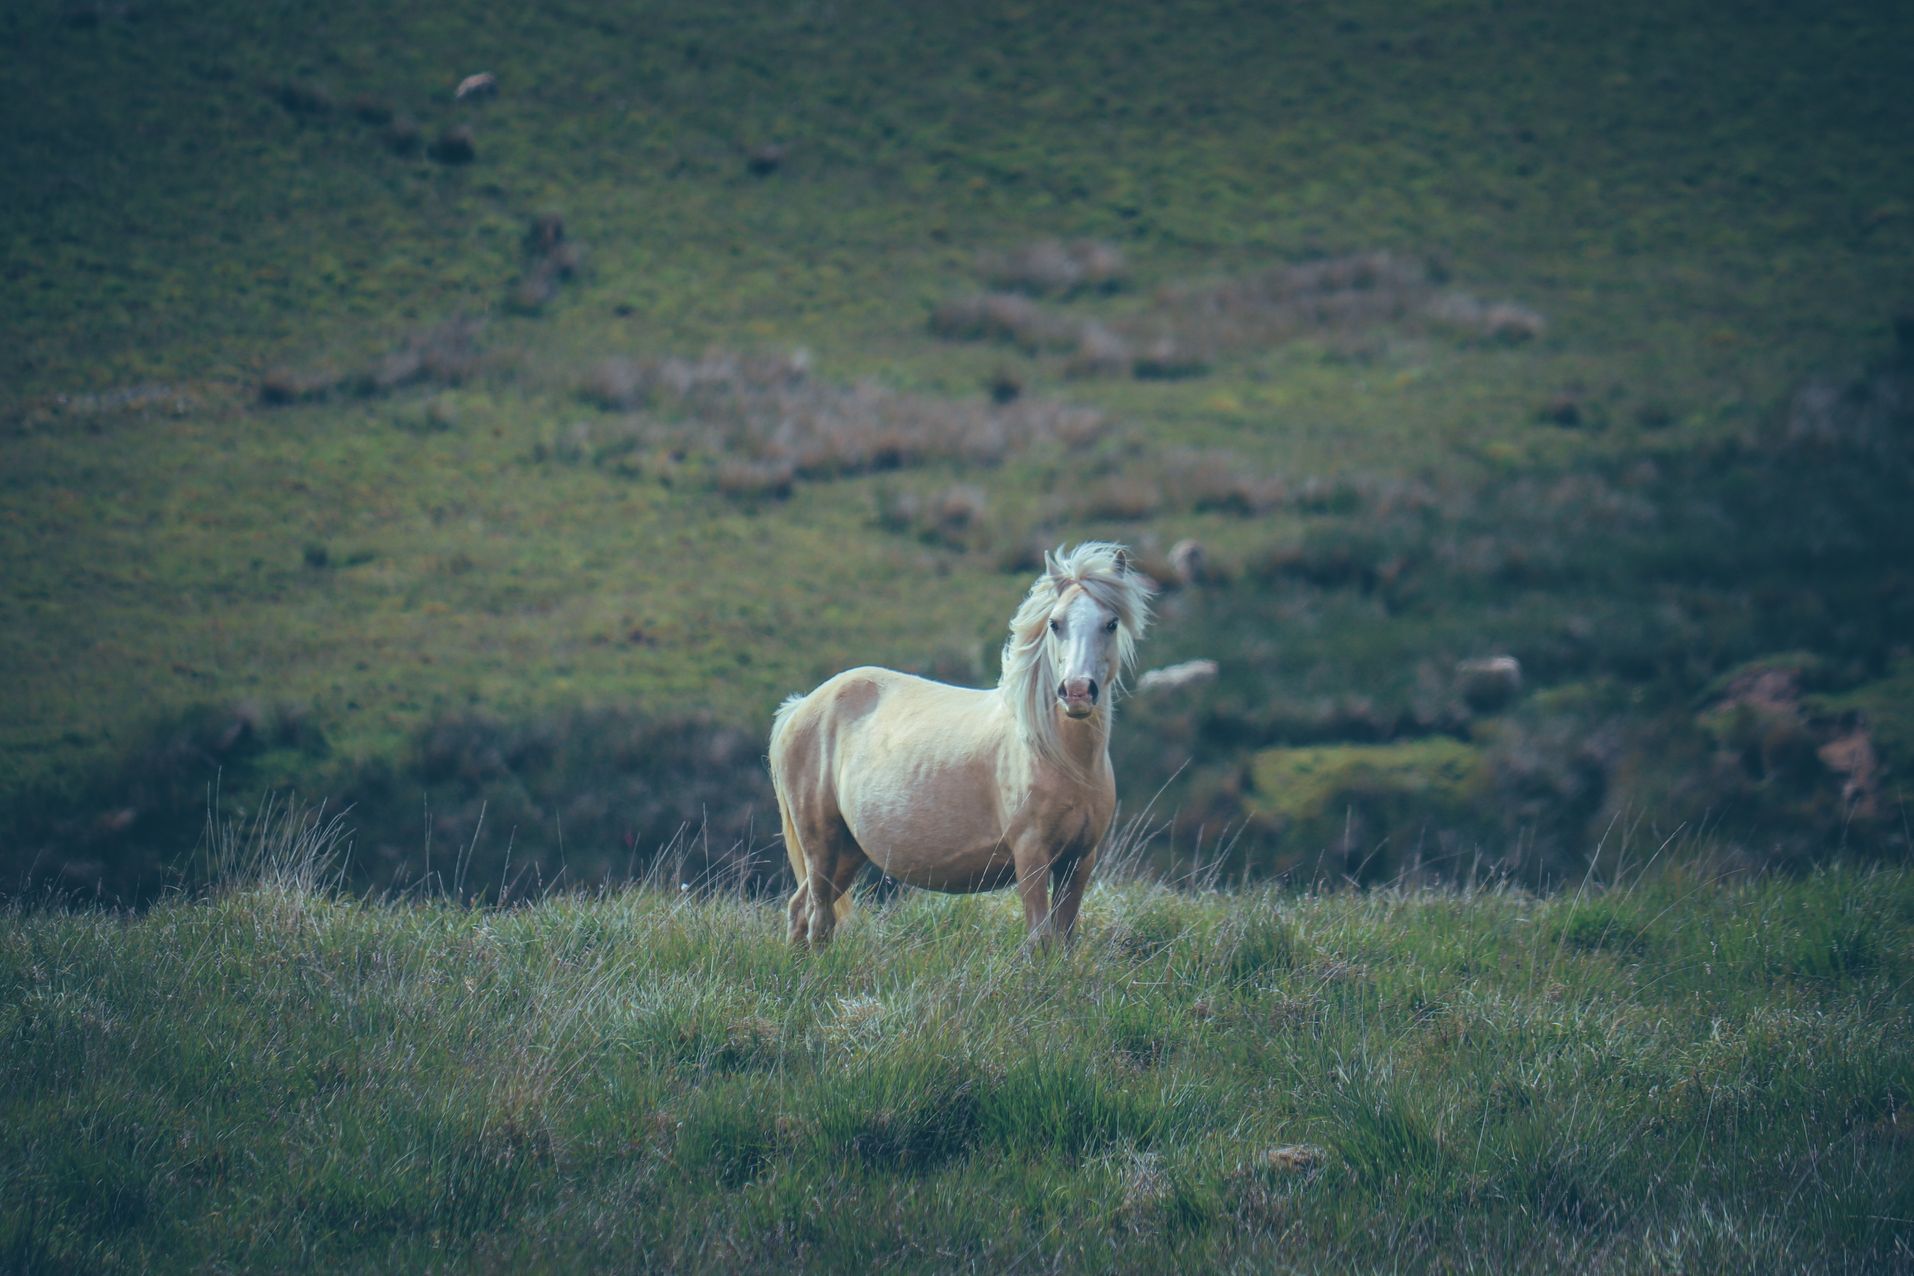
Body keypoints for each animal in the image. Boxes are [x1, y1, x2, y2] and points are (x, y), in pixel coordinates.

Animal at [770, 541, 1152, 948]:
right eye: (1055, 623)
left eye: (1111, 623)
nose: (1077, 691)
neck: (1063, 759)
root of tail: (802, 706)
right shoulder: (1032, 856)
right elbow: (1040, 939)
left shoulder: (1078, 861)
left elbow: (1063, 940)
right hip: (821, 841)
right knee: (818, 917)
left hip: (850, 849)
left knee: (800, 909)